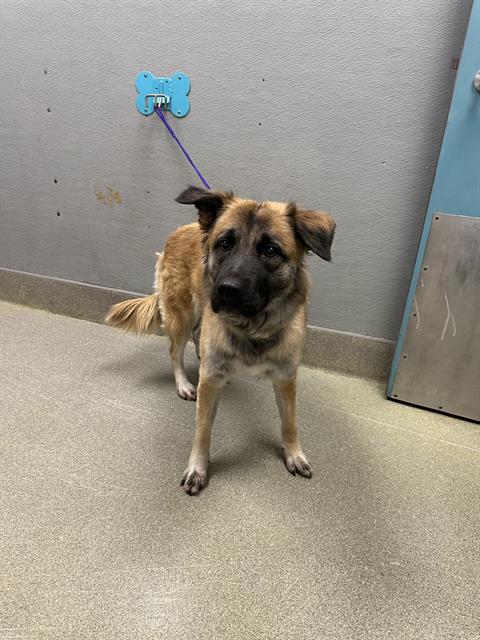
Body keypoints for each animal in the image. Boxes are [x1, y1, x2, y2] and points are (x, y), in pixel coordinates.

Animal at [105, 186, 335, 494]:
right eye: (224, 244)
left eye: (270, 250)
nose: (227, 290)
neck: (252, 328)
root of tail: (182, 229)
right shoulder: (211, 382)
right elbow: (202, 430)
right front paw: (197, 468)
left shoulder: (286, 378)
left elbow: (289, 423)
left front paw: (294, 454)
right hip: (182, 318)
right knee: (175, 352)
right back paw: (184, 383)